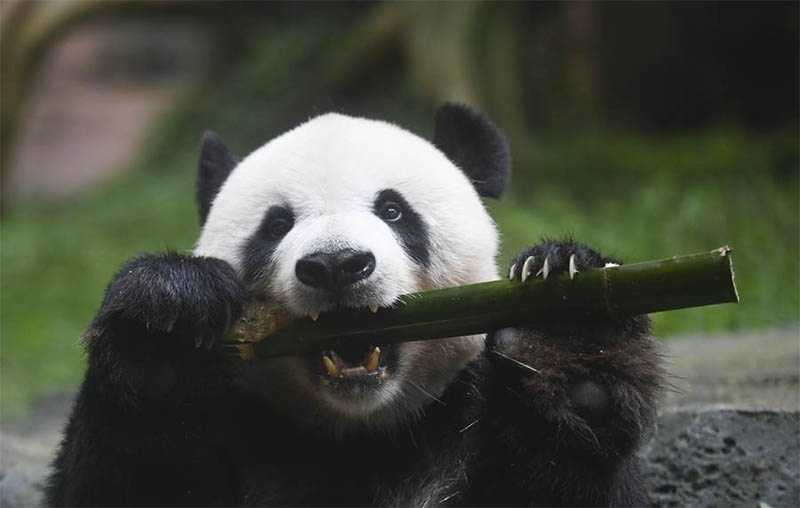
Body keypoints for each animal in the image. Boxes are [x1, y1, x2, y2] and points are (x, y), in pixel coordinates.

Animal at [46, 104, 662, 507]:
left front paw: (567, 340)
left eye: (393, 210)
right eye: (275, 225)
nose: (337, 265)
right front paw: (166, 329)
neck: (362, 436)